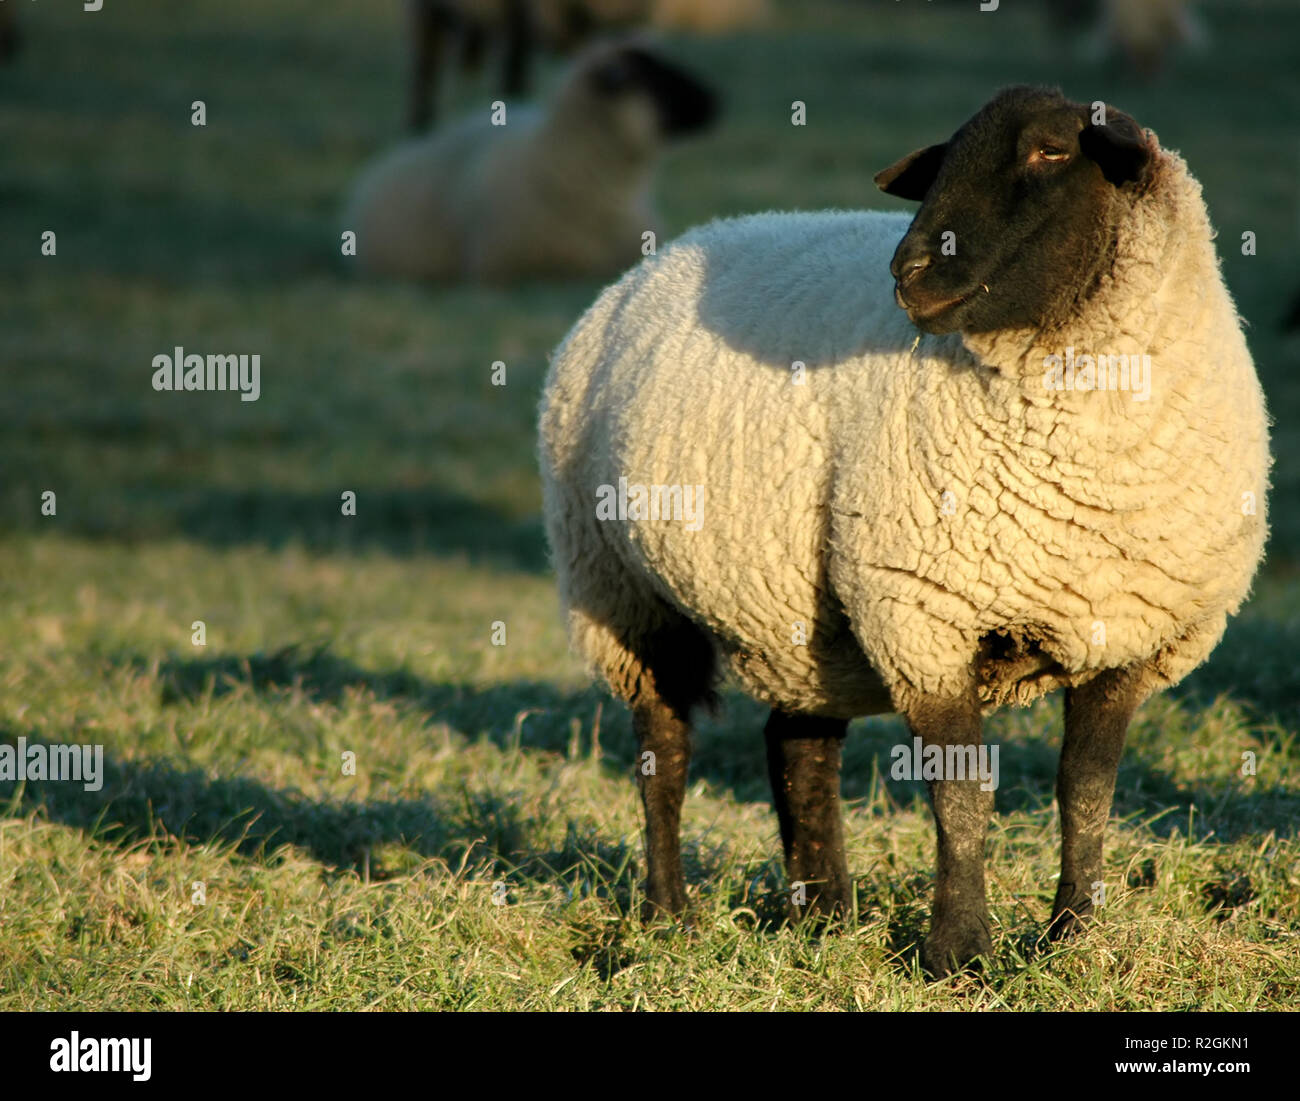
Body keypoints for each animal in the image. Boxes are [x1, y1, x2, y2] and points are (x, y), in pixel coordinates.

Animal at [537, 85, 1271, 976]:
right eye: (947, 156)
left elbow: (1086, 790)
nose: (907, 271)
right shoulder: (923, 615)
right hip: (621, 589)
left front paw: (1072, 937)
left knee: (798, 745)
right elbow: (961, 791)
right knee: (665, 751)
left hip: (797, 614)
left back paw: (823, 913)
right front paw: (959, 951)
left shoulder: (1126, 638)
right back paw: (668, 913)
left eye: (1053, 151)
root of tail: (655, 261)